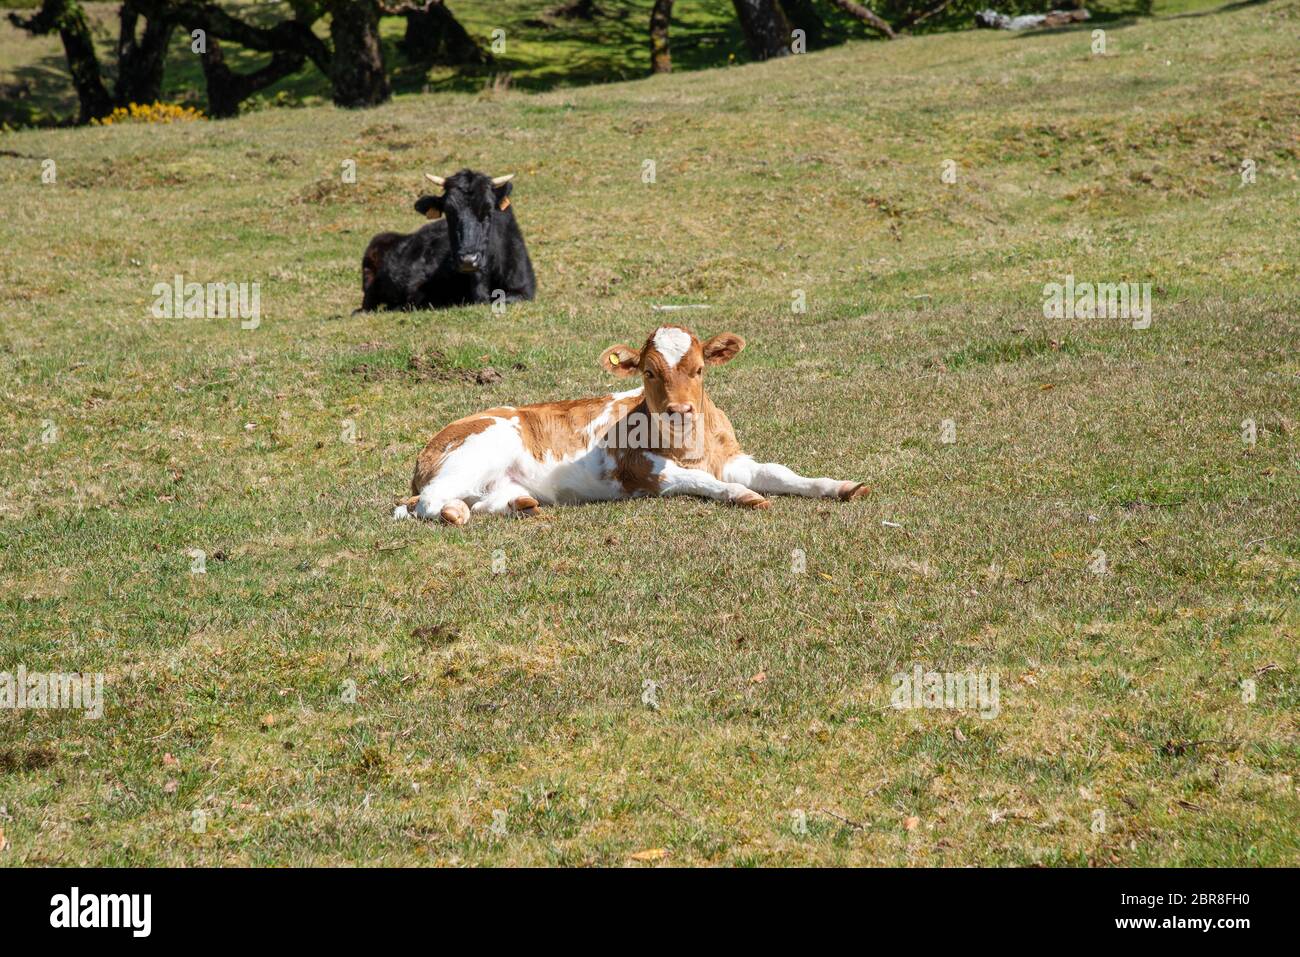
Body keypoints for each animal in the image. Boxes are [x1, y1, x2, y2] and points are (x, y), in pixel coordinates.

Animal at [393, 326, 869, 524]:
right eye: (649, 372)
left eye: (699, 369)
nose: (680, 408)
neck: (689, 445)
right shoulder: (643, 470)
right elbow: (704, 482)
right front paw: (745, 496)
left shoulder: (733, 457)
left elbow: (780, 472)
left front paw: (840, 486)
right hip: (475, 454)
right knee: (425, 503)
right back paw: (453, 512)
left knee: (481, 501)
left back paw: (520, 505)